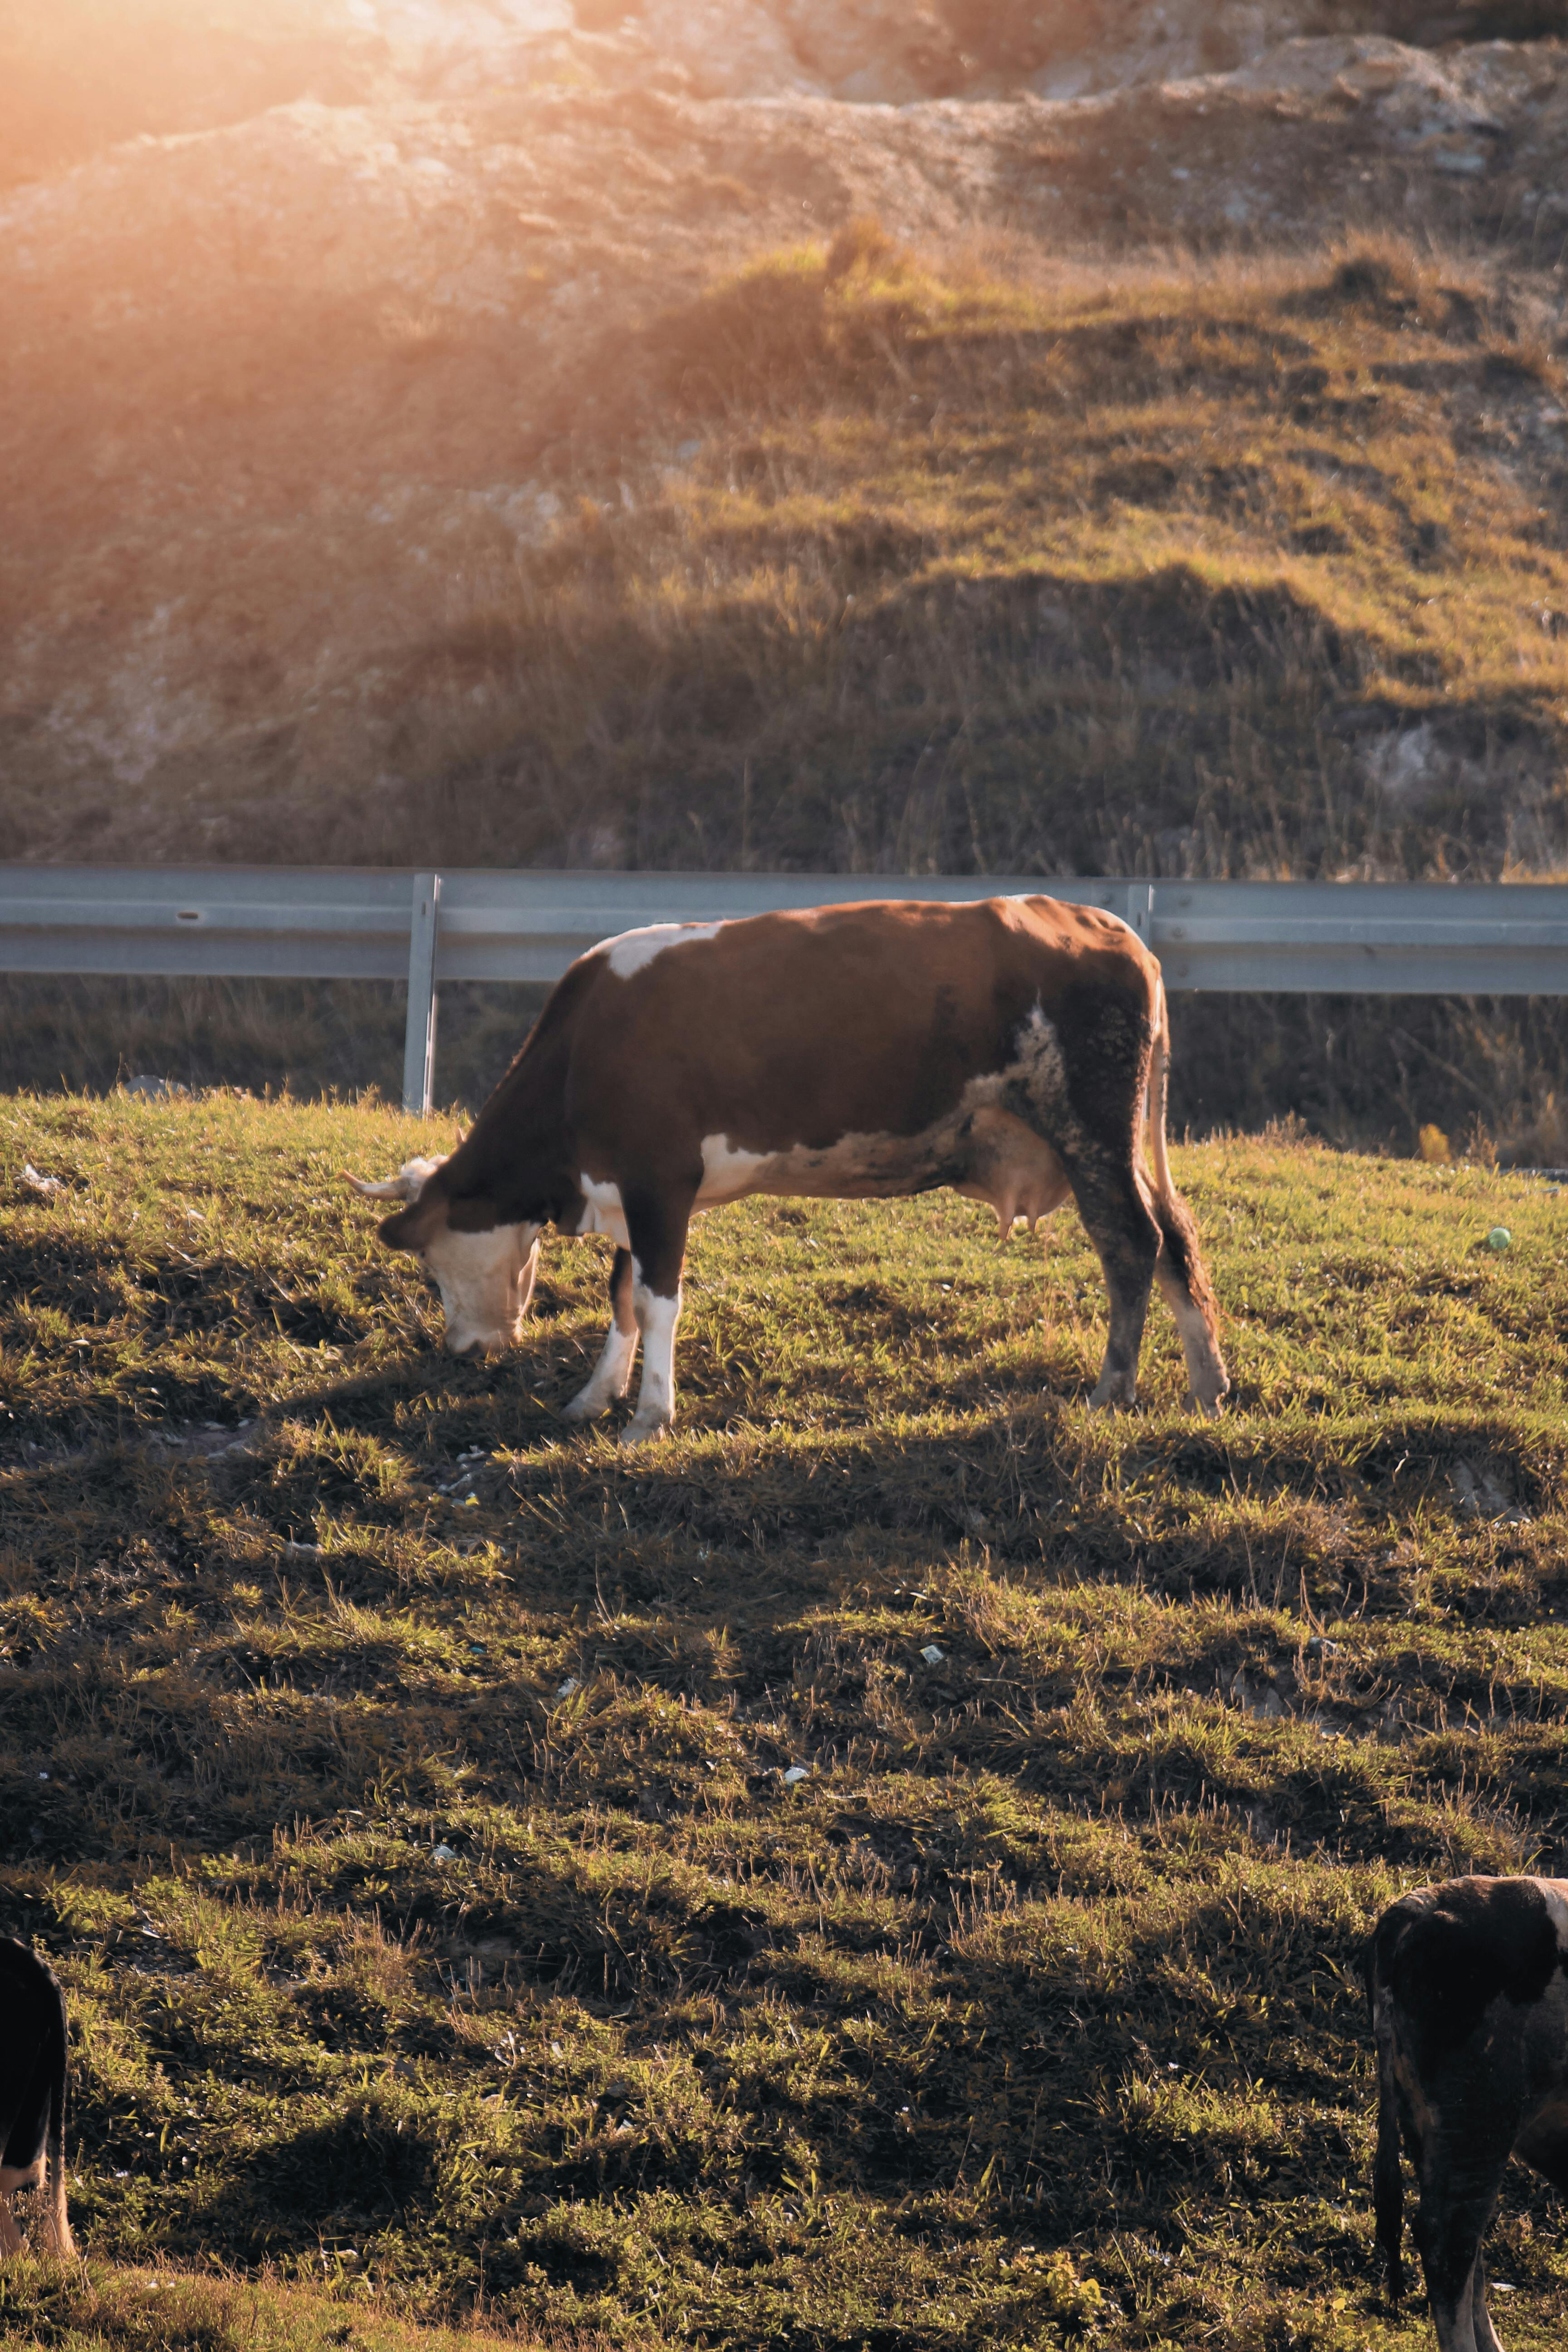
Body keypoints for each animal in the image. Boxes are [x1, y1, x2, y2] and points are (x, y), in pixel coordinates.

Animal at [347, 893, 1228, 1443]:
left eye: (432, 1265)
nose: (463, 1350)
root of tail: (1110, 929)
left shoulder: (659, 1181)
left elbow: (657, 1301)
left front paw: (649, 1417)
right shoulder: (633, 1189)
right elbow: (623, 1295)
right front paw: (593, 1396)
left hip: (1090, 1131)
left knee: (1131, 1244)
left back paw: (1112, 1390)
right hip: (1116, 1144)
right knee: (1175, 1239)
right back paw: (1207, 1382)